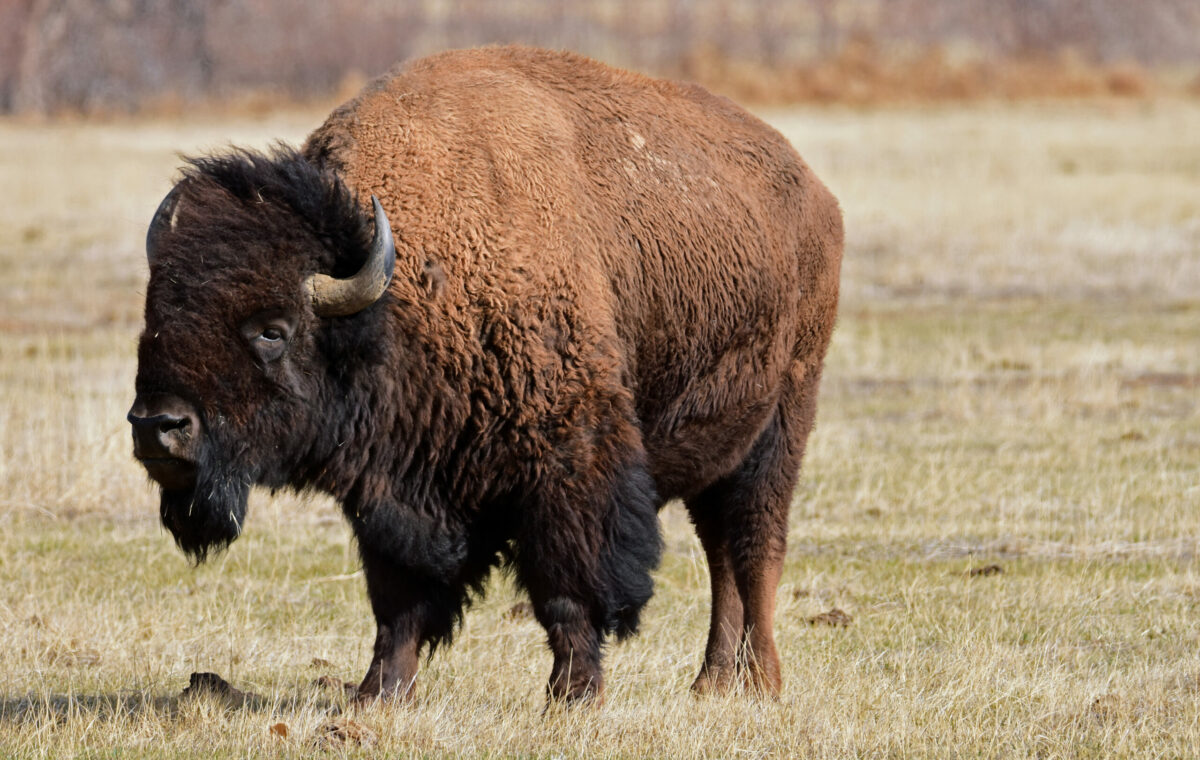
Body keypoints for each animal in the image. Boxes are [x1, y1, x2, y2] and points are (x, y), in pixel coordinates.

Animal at [129, 45, 843, 704]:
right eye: (154, 315)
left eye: (272, 330)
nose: (157, 425)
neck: (405, 287)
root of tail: (815, 193)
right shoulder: (394, 490)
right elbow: (398, 599)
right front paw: (378, 692)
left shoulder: (569, 466)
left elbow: (568, 590)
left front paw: (572, 695)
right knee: (722, 551)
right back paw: (712, 683)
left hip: (782, 426)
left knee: (754, 548)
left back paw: (761, 682)